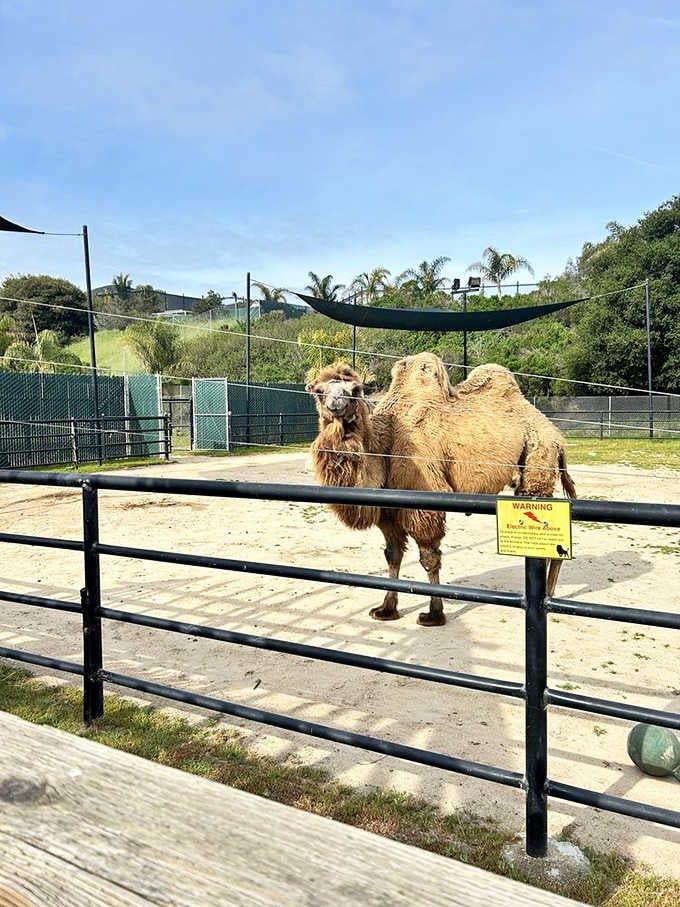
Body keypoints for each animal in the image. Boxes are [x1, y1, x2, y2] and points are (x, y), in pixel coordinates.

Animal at [306, 352, 576, 627]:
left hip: (538, 458)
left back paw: (547, 596)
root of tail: (556, 434)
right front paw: (386, 609)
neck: (384, 448)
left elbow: (429, 558)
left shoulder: (424, 503)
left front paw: (434, 614)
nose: (336, 405)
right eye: (319, 391)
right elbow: (393, 555)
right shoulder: (388, 512)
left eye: (355, 390)